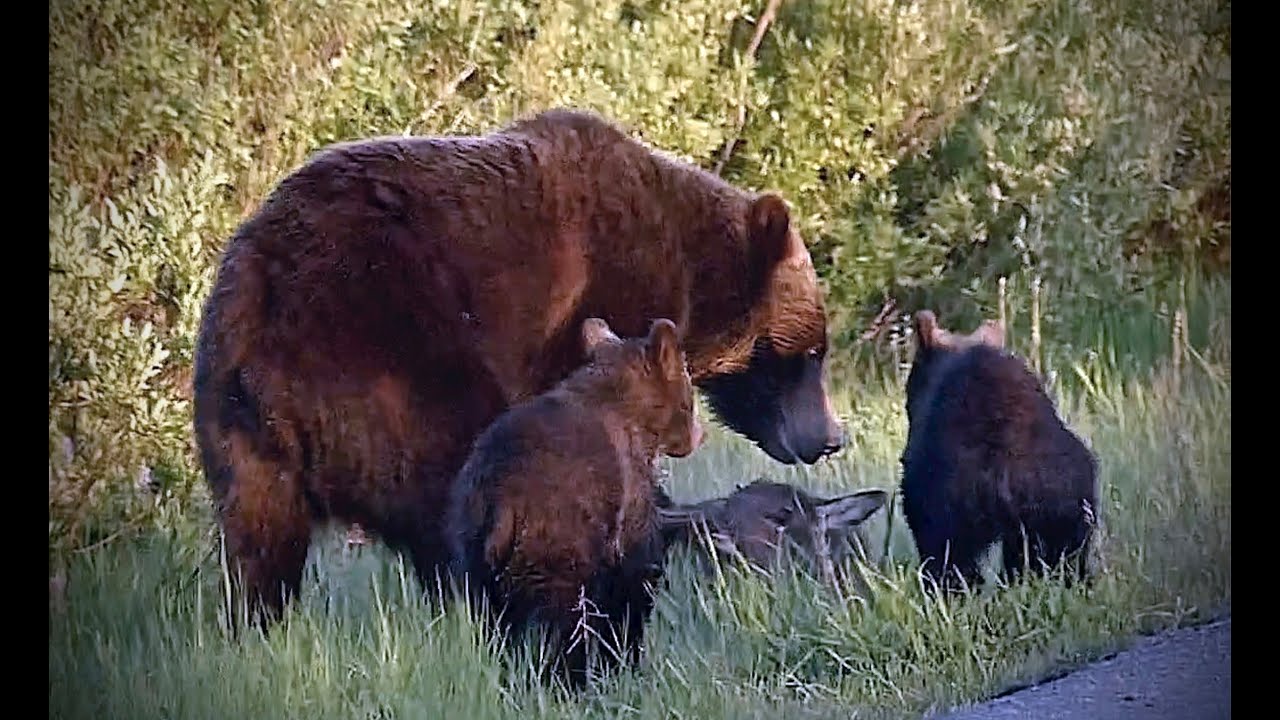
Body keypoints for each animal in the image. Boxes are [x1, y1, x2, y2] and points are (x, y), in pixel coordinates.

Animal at [192, 107, 844, 627]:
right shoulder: (596, 299)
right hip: (395, 349)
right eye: (812, 351)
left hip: (240, 431)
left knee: (261, 543)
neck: (690, 274)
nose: (831, 437)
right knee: (445, 486)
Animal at [446, 317, 702, 689]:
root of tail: (500, 502)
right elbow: (634, 575)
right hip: (556, 540)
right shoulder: (629, 490)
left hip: (472, 547)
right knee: (562, 620)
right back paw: (568, 680)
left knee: (491, 622)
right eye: (690, 394)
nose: (699, 434)